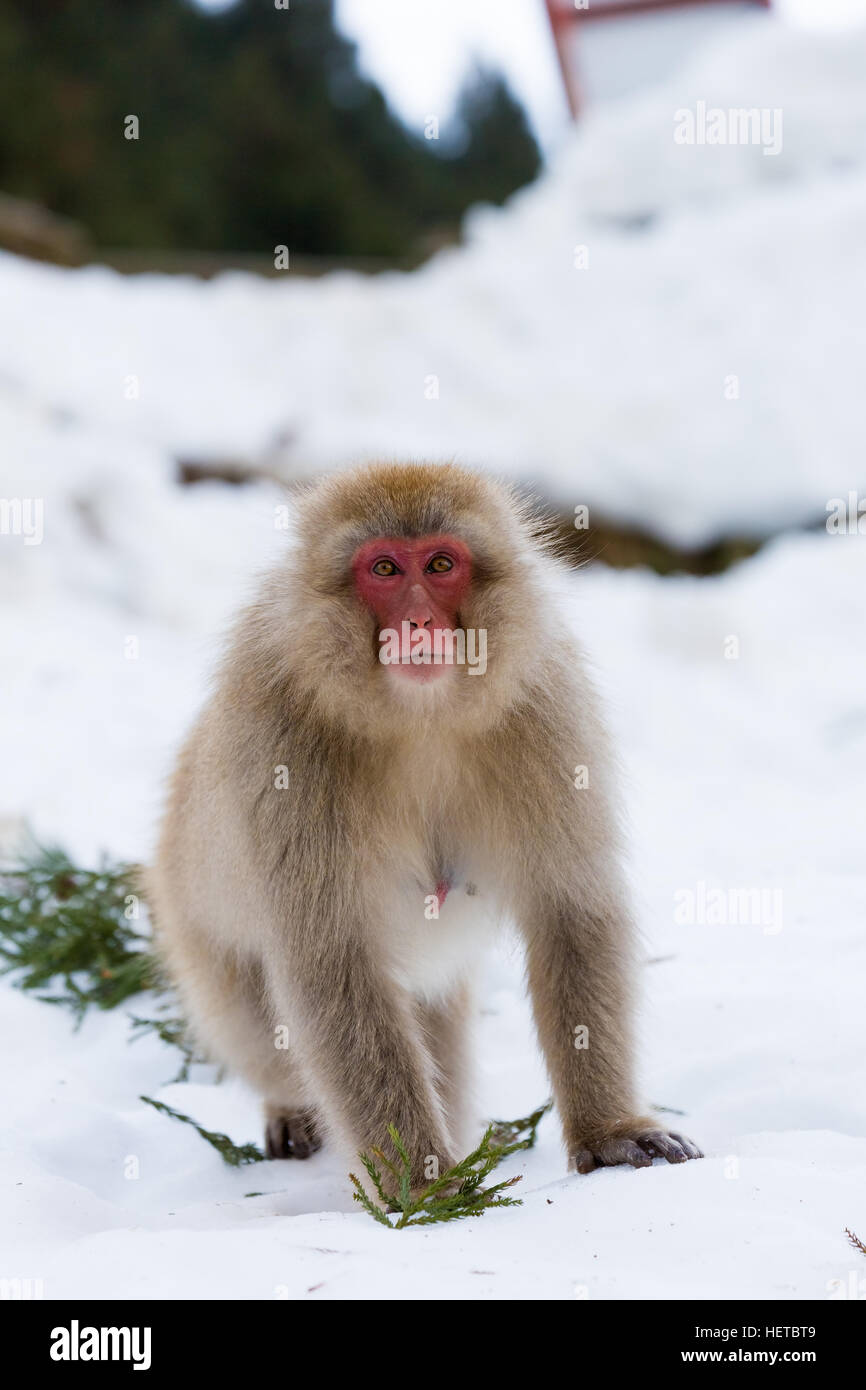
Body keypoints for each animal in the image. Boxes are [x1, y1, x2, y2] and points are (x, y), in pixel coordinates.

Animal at [148, 461, 700, 1193]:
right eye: (384, 568)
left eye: (440, 564)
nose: (418, 620)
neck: (420, 718)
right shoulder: (279, 739)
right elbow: (333, 964)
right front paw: (425, 1183)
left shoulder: (547, 707)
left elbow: (570, 911)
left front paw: (609, 1132)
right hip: (196, 935)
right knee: (254, 1029)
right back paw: (293, 1111)